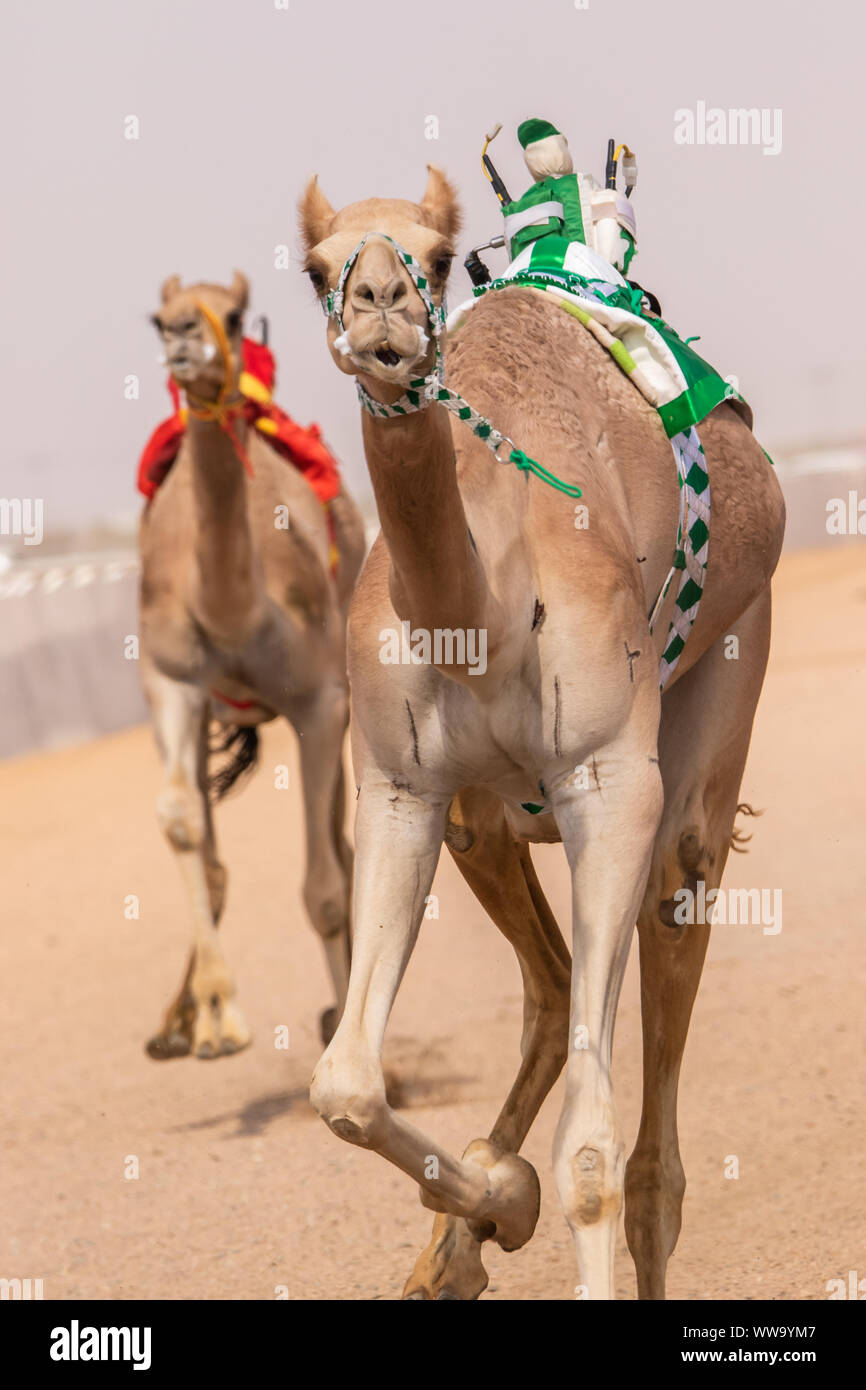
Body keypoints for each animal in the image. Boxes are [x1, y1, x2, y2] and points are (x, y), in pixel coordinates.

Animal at [139, 271, 365, 1059]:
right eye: (158, 320)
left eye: (235, 316)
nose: (184, 335)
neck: (235, 613)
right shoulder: (172, 682)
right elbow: (182, 827)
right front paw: (214, 1012)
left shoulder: (321, 703)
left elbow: (324, 886)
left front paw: (346, 1038)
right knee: (212, 853)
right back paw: (179, 1025)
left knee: (341, 849)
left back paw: (337, 1012)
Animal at [297, 166, 785, 1300]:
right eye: (313, 264)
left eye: (437, 256)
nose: (380, 306)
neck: (484, 607)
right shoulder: (401, 787)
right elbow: (345, 1083)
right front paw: (495, 1199)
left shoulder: (608, 785)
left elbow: (592, 1153)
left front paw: (510, 1196)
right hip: (483, 818)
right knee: (553, 979)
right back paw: (457, 1241)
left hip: (729, 662)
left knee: (669, 924)